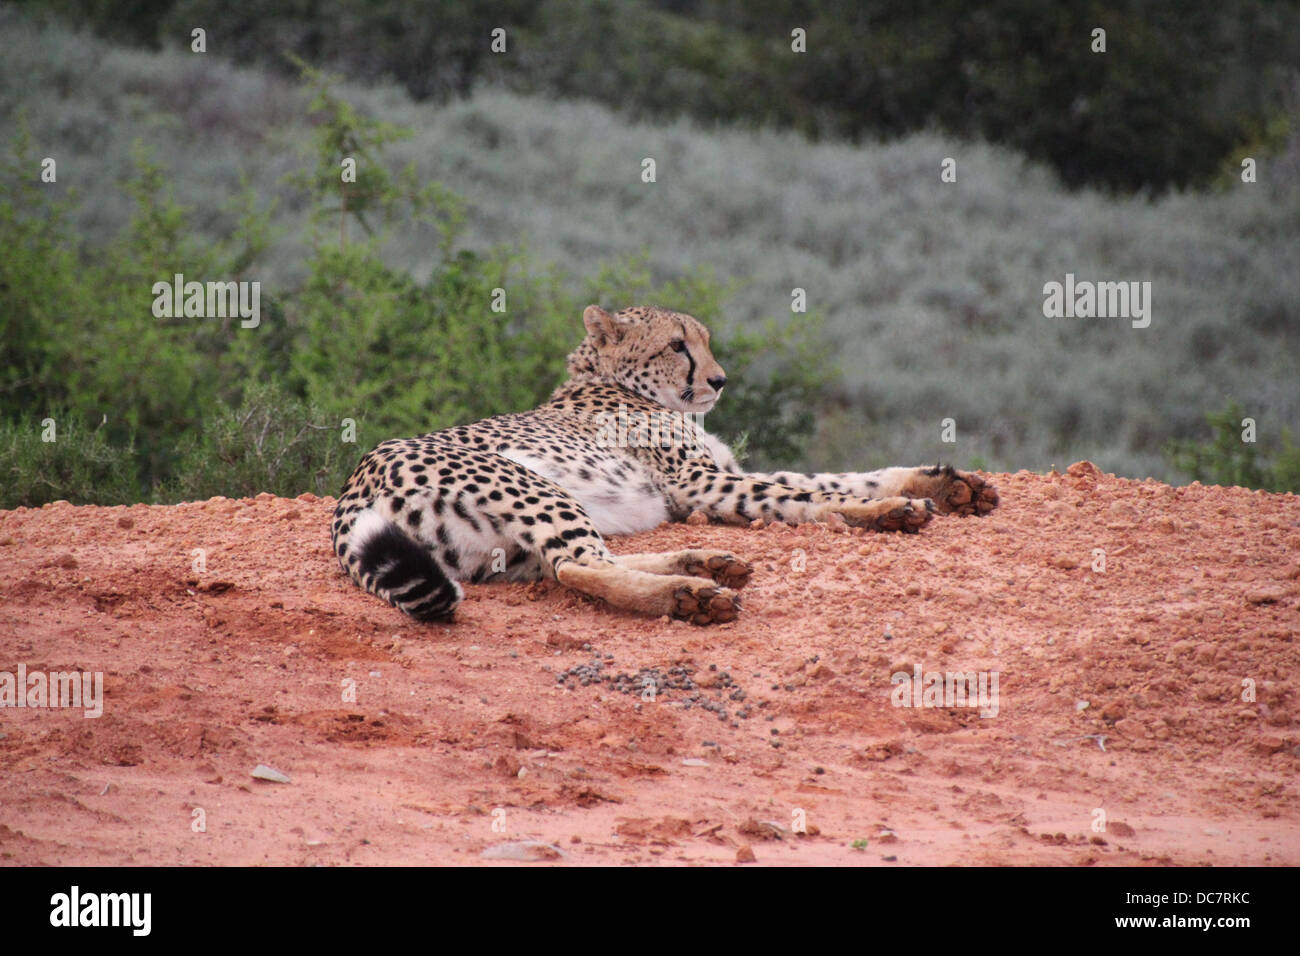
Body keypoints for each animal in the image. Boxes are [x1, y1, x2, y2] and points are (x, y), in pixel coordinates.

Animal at [330, 304, 999, 625]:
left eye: (705, 340)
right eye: (678, 345)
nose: (720, 380)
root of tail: (355, 483)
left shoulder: (718, 473)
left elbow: (827, 479)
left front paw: (944, 483)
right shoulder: (698, 483)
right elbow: (808, 495)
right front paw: (892, 508)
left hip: (505, 550)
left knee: (580, 561)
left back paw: (704, 564)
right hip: (532, 485)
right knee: (578, 567)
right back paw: (687, 594)